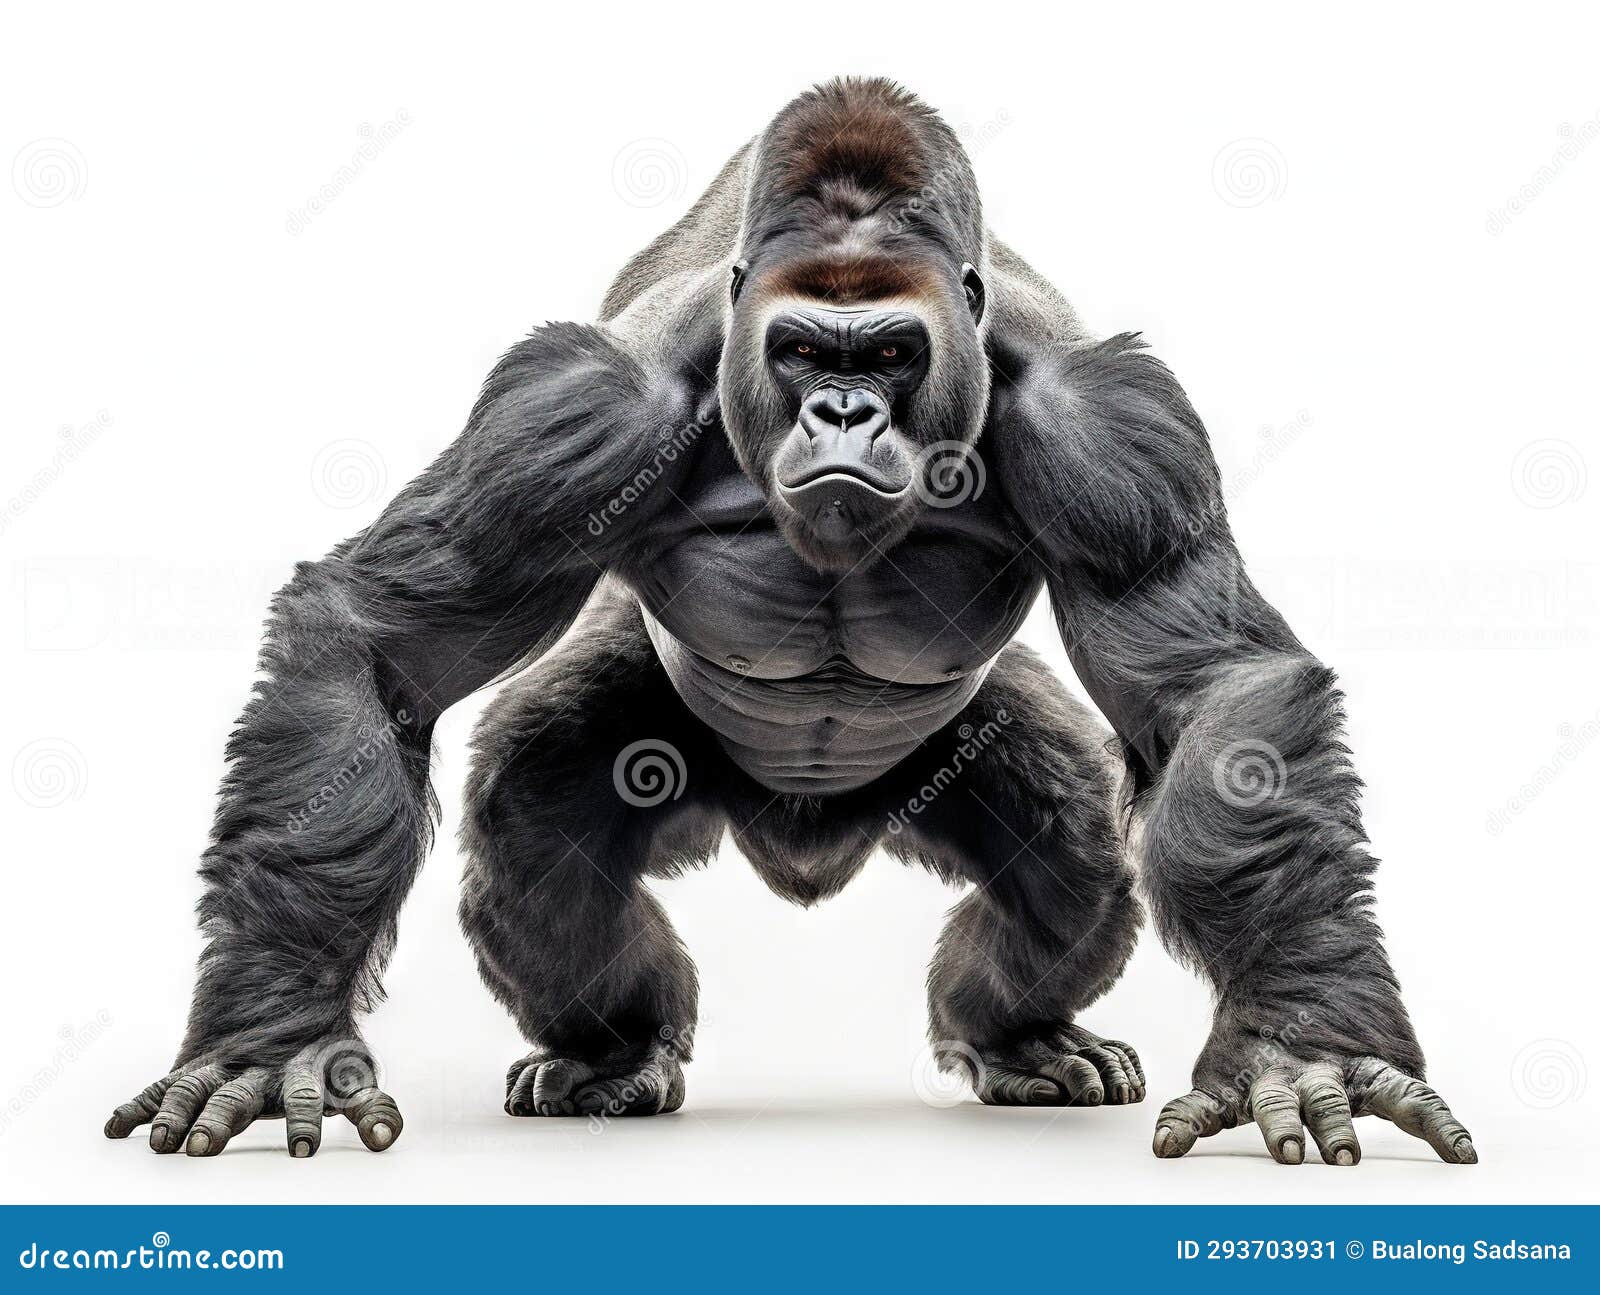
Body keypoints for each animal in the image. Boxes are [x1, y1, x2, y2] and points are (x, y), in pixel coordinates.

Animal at [105, 78, 1473, 1167]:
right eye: (808, 346)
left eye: (892, 351)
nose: (843, 411)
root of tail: (802, 840)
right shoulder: (570, 414)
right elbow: (378, 643)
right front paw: (275, 1027)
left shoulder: (1115, 426)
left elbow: (1214, 690)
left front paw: (1300, 1028)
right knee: (541, 826)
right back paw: (613, 1051)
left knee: (1070, 853)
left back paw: (1018, 1037)